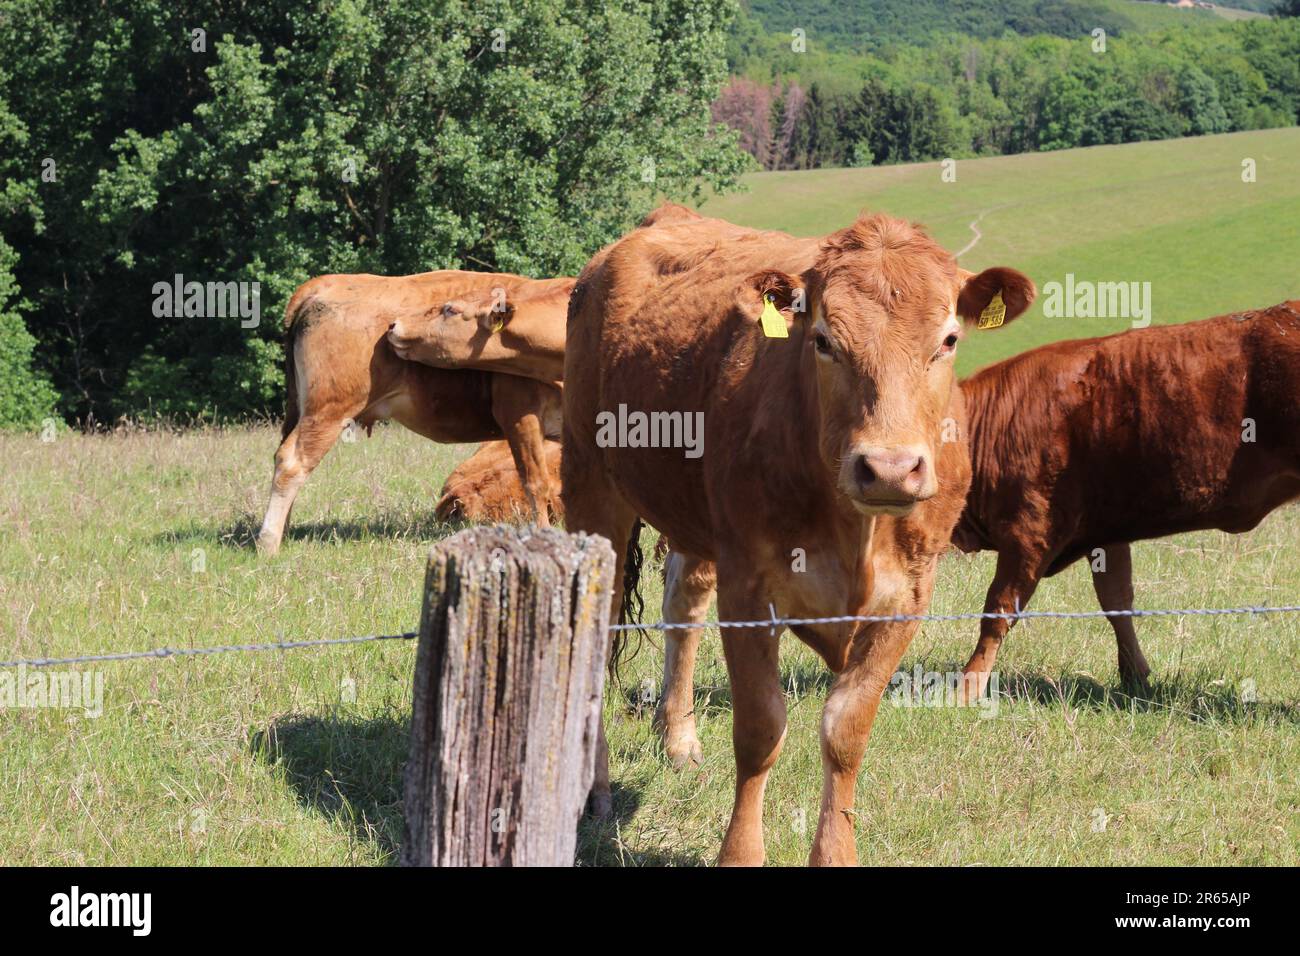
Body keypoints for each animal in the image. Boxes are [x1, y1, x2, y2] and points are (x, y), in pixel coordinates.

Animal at [561, 203, 1034, 865]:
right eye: (824, 341)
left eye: (948, 340)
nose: (890, 468)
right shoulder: (748, 587)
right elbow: (761, 729)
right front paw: (740, 853)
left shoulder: (908, 598)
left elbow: (846, 731)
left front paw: (836, 851)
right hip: (590, 483)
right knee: (595, 626)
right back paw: (595, 790)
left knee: (682, 603)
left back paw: (677, 740)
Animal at [952, 300, 1300, 698]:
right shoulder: (1105, 533)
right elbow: (1117, 601)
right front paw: (1135, 676)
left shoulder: (1028, 530)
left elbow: (998, 610)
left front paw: (968, 685)